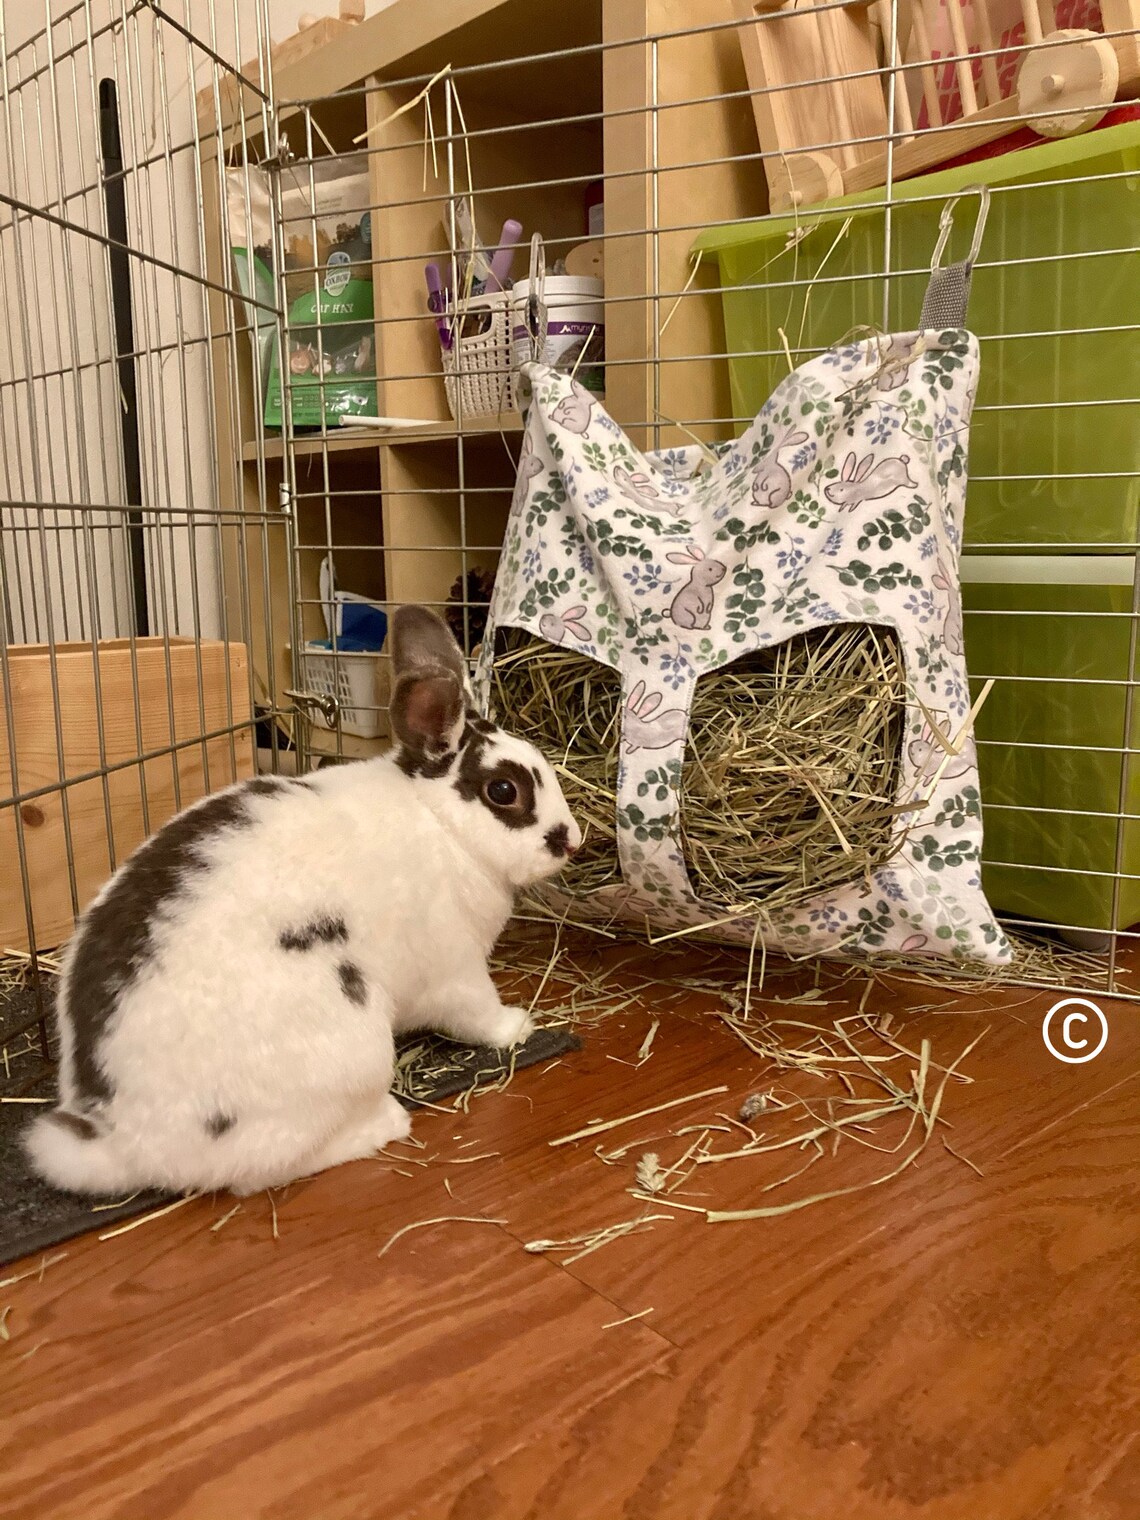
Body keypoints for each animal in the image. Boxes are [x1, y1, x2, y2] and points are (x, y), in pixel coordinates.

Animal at [24, 606, 582, 1200]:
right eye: (504, 791)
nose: (571, 839)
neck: (439, 821)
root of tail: (125, 1142)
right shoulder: (456, 967)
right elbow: (478, 1012)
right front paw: (518, 1026)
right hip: (350, 1050)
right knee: (262, 1172)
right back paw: (383, 1125)